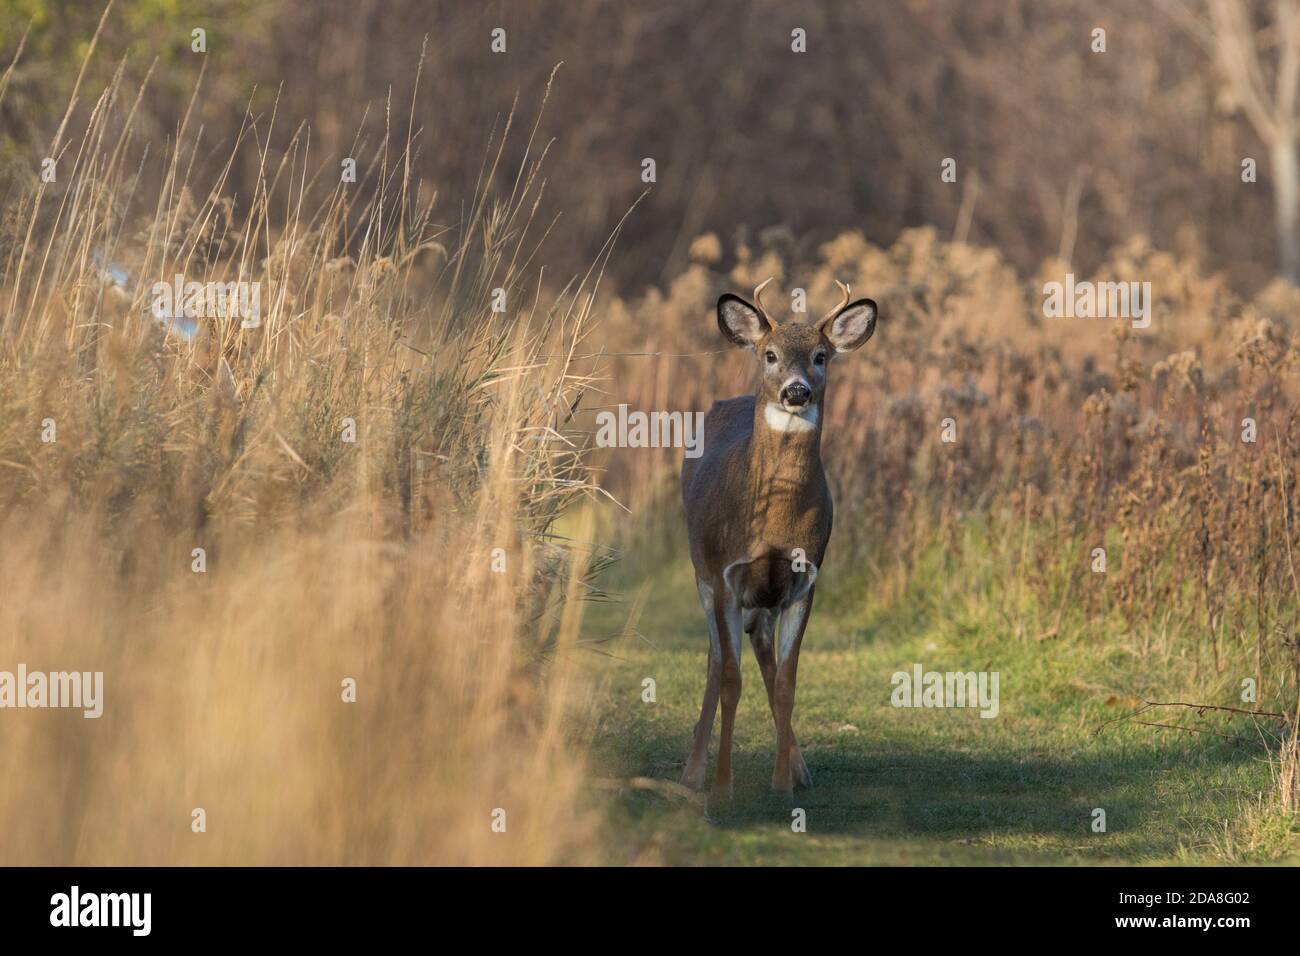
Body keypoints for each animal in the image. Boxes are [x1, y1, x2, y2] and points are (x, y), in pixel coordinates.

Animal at [679, 277, 878, 799]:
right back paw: (692, 772)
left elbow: (788, 682)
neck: (773, 524)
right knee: (715, 658)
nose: (795, 390)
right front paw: (722, 786)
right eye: (770, 355)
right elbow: (731, 679)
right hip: (701, 573)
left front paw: (783, 782)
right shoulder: (727, 574)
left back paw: (797, 768)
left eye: (821, 355)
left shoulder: (804, 579)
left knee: (760, 642)